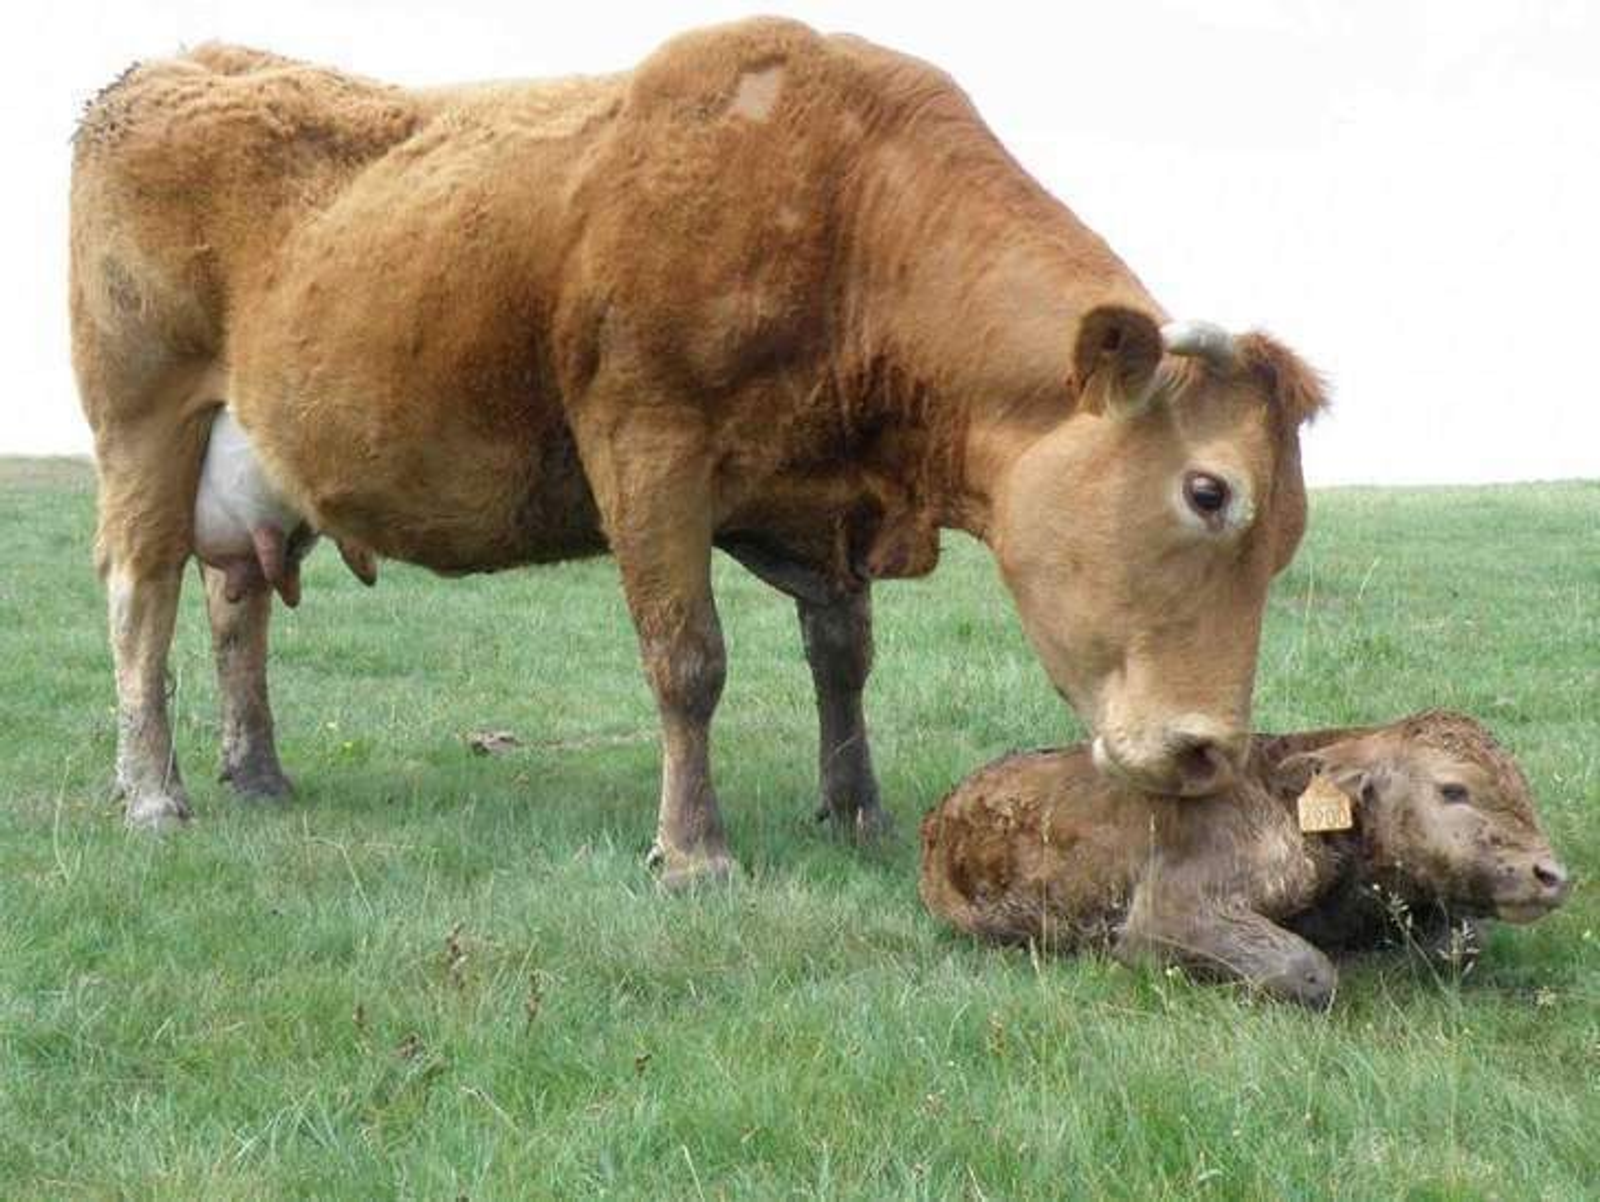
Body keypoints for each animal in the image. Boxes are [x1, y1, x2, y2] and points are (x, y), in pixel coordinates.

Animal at [69, 18, 1325, 886]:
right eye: (1206, 490)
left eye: (1288, 535)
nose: (1210, 751)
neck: (848, 213)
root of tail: (166, 70)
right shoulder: (650, 448)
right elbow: (688, 659)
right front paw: (694, 850)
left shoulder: (816, 500)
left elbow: (842, 657)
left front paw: (853, 806)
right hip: (143, 422)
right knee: (143, 599)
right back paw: (152, 792)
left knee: (235, 605)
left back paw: (257, 773)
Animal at [919, 710, 1573, 1006]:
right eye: (1452, 789)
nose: (1551, 875)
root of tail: (942, 812)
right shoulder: (1166, 913)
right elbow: (1309, 970)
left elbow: (1463, 941)